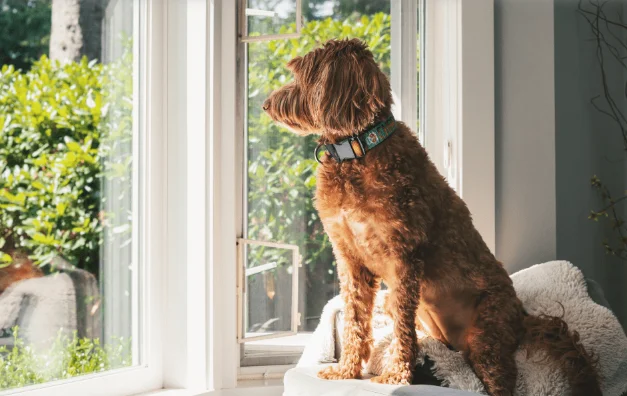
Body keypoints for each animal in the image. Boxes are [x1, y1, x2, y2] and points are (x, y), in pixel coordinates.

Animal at [262, 38, 600, 396]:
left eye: (300, 75)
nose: (266, 105)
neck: (359, 151)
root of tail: (522, 316)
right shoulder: (350, 259)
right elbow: (355, 316)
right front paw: (347, 370)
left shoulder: (404, 255)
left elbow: (401, 324)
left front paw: (396, 375)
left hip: (487, 335)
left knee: (501, 380)